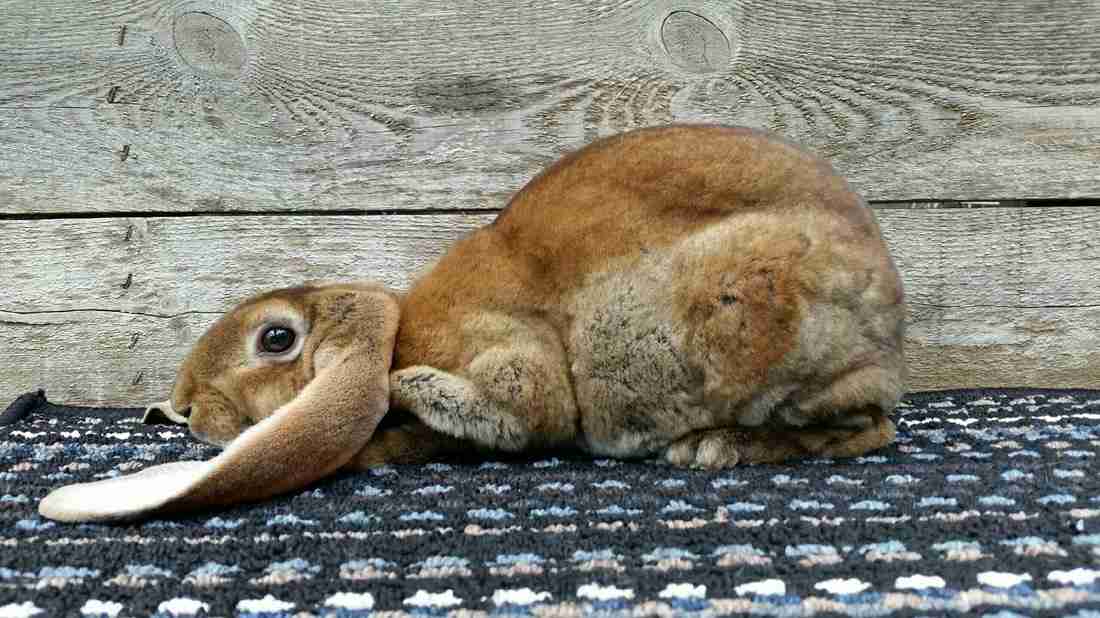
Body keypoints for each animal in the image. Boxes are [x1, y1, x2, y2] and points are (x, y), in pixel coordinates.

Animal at [39, 124, 905, 522]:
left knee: (867, 429)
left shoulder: (510, 359)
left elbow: (522, 406)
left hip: (750, 322)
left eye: (275, 338)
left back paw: (715, 448)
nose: (183, 405)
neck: (400, 330)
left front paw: (406, 384)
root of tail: (889, 328)